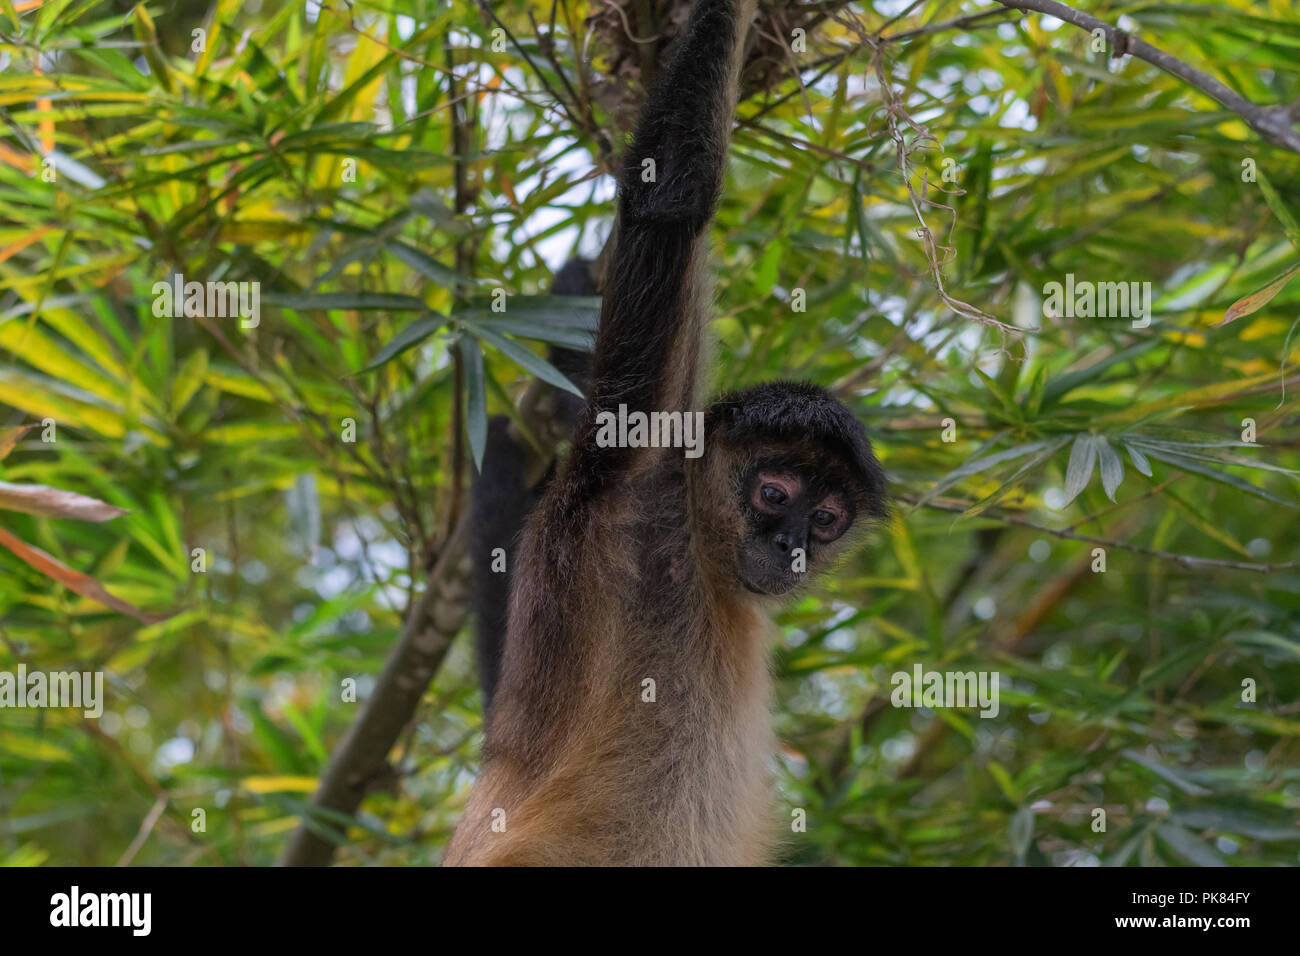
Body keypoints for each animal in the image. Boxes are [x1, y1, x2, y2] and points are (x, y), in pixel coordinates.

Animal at [445, 0, 886, 866]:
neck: (705, 563)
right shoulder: (632, 502)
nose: (791, 546)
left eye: (825, 519)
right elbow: (670, 203)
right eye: (773, 492)